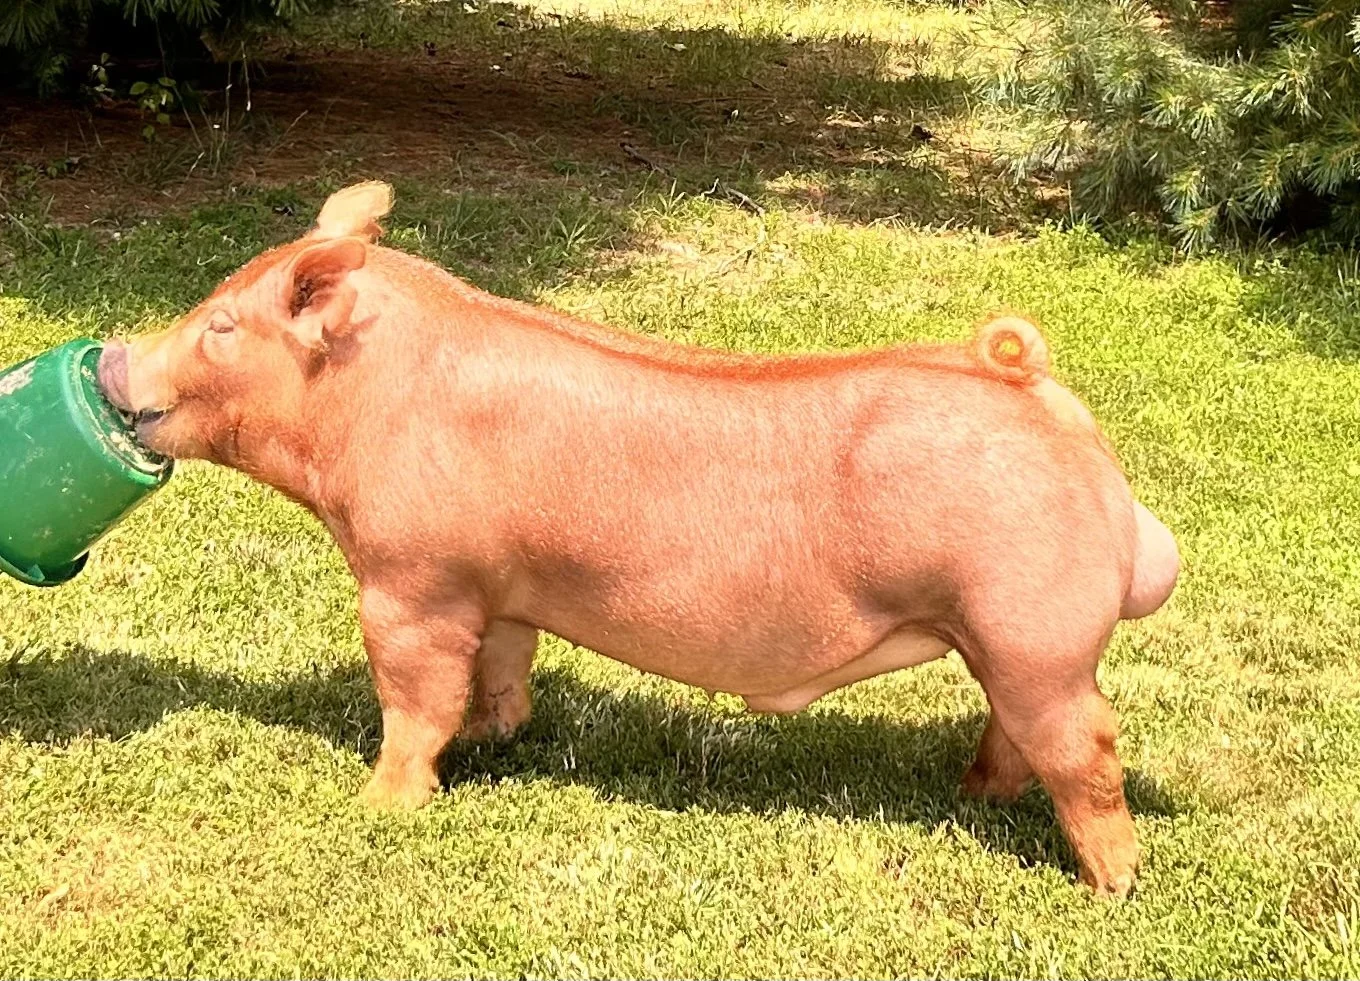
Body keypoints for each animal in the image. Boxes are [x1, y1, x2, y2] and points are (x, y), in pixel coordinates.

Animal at [97, 181, 1179, 896]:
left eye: (223, 326)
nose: (110, 356)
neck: (366, 398)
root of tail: (1038, 391)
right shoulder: (499, 587)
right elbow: (501, 667)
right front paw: (493, 738)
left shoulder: (412, 581)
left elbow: (414, 697)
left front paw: (379, 807)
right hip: (1004, 641)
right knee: (1017, 731)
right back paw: (974, 792)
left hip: (1032, 630)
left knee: (1088, 744)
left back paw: (1111, 886)